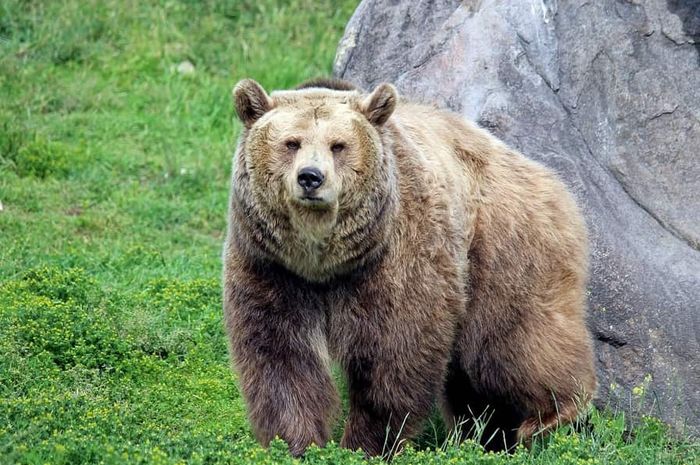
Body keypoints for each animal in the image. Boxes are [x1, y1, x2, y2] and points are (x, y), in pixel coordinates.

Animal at [223, 77, 597, 457]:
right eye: (292, 142)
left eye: (338, 145)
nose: (310, 177)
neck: (324, 262)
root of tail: (546, 175)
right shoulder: (272, 267)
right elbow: (280, 356)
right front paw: (296, 443)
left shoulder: (396, 255)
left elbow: (395, 350)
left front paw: (368, 444)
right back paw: (488, 434)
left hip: (502, 246)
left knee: (510, 344)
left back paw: (551, 416)